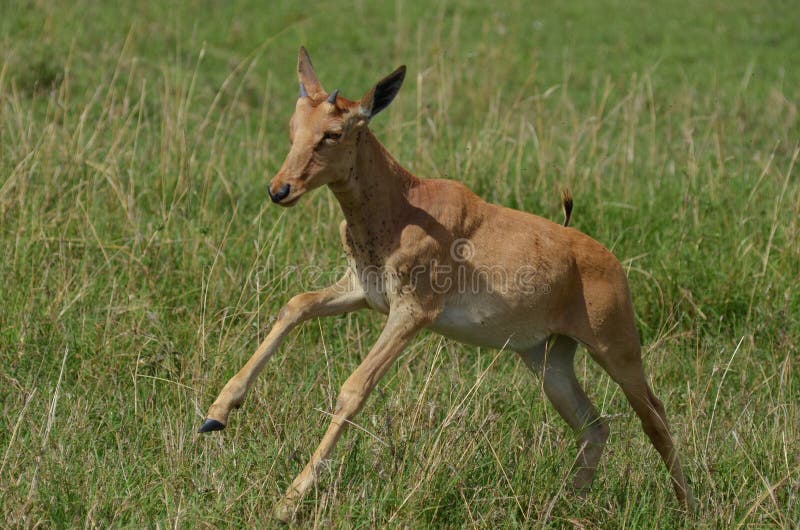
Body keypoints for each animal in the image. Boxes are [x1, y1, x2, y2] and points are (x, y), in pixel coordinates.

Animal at [198, 47, 695, 520]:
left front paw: (287, 502)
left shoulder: (412, 314)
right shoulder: (362, 293)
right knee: (594, 426)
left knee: (655, 417)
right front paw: (215, 415)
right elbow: (296, 304)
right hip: (547, 358)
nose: (279, 190)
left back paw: (688, 505)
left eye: (334, 133)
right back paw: (563, 505)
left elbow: (354, 389)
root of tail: (608, 260)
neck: (406, 202)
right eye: (294, 126)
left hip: (616, 350)